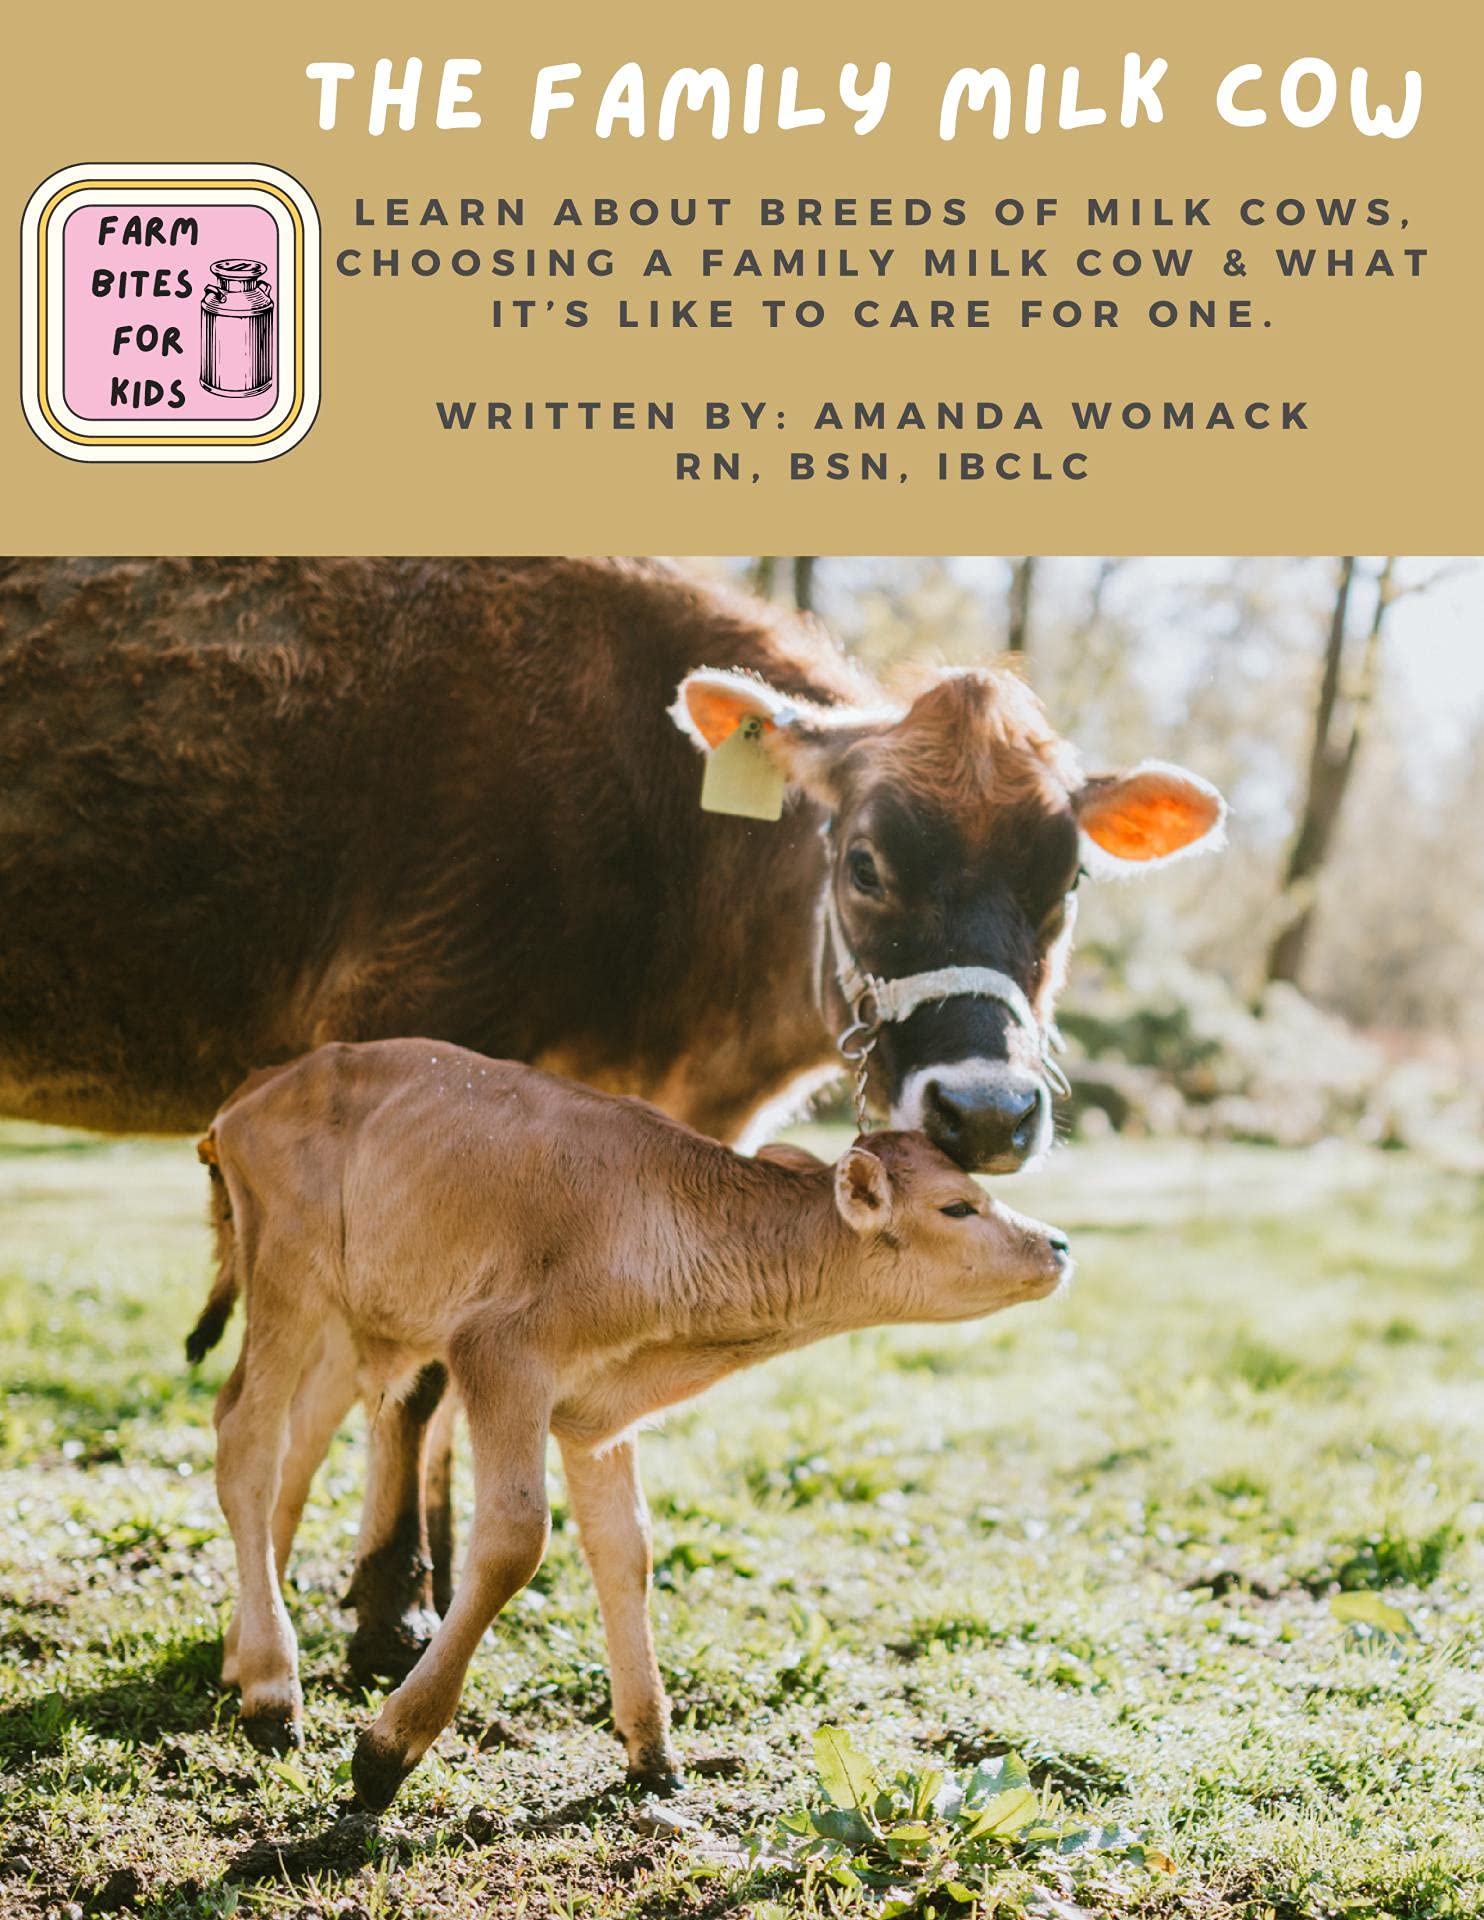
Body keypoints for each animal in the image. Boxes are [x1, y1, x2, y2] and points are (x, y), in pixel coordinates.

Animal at [0, 556, 1225, 1681]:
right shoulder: (413, 1027)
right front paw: (393, 1608)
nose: (986, 1111)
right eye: (866, 863)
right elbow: (419, 1386)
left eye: (1068, 884)